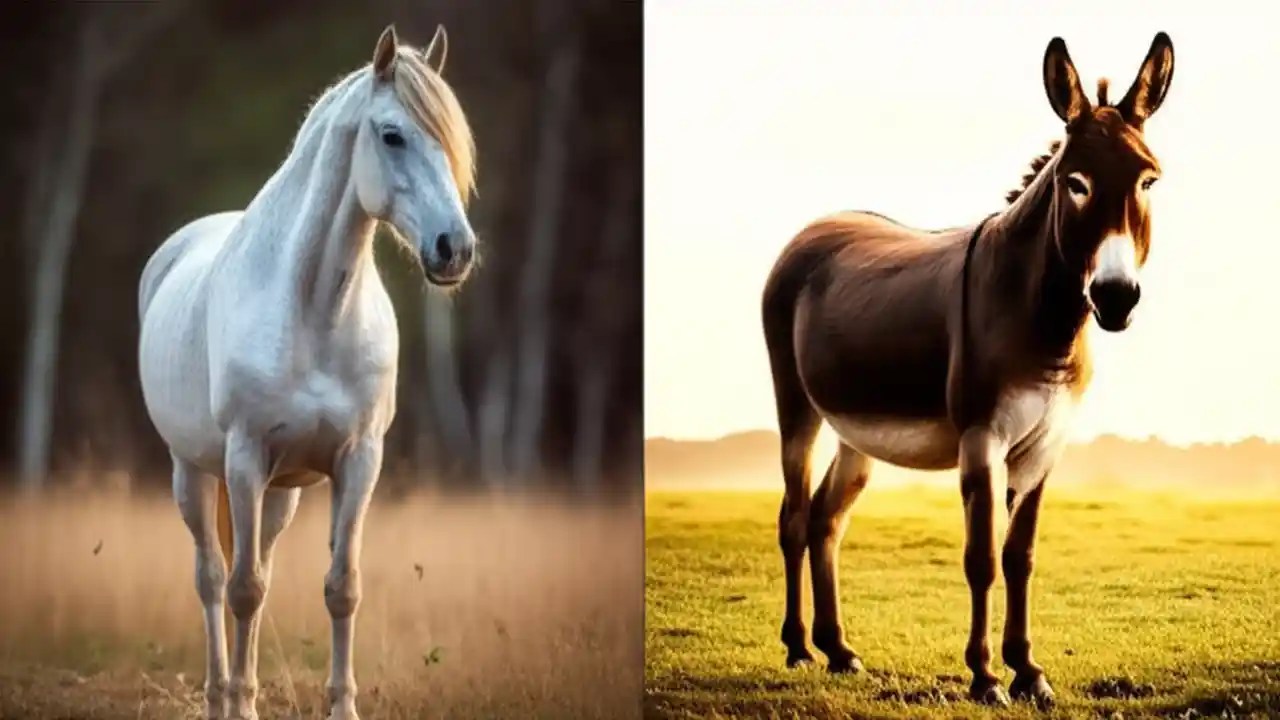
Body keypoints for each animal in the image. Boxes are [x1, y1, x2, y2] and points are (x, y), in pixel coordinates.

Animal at [137, 25, 476, 720]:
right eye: (392, 134)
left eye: (451, 137)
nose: (454, 249)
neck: (313, 310)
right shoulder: (244, 457)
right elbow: (242, 591)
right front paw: (240, 706)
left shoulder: (360, 460)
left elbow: (340, 587)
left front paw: (341, 706)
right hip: (193, 472)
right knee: (214, 580)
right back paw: (220, 696)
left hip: (280, 494)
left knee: (253, 567)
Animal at [761, 33, 1174, 707]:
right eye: (1075, 183)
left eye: (1148, 181)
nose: (1115, 298)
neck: (1044, 324)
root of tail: (818, 224)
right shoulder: (983, 440)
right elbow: (980, 557)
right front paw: (985, 677)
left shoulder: (1044, 448)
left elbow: (1019, 557)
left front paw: (1028, 671)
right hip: (797, 407)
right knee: (794, 518)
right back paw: (797, 647)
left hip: (856, 433)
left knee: (826, 519)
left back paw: (839, 650)